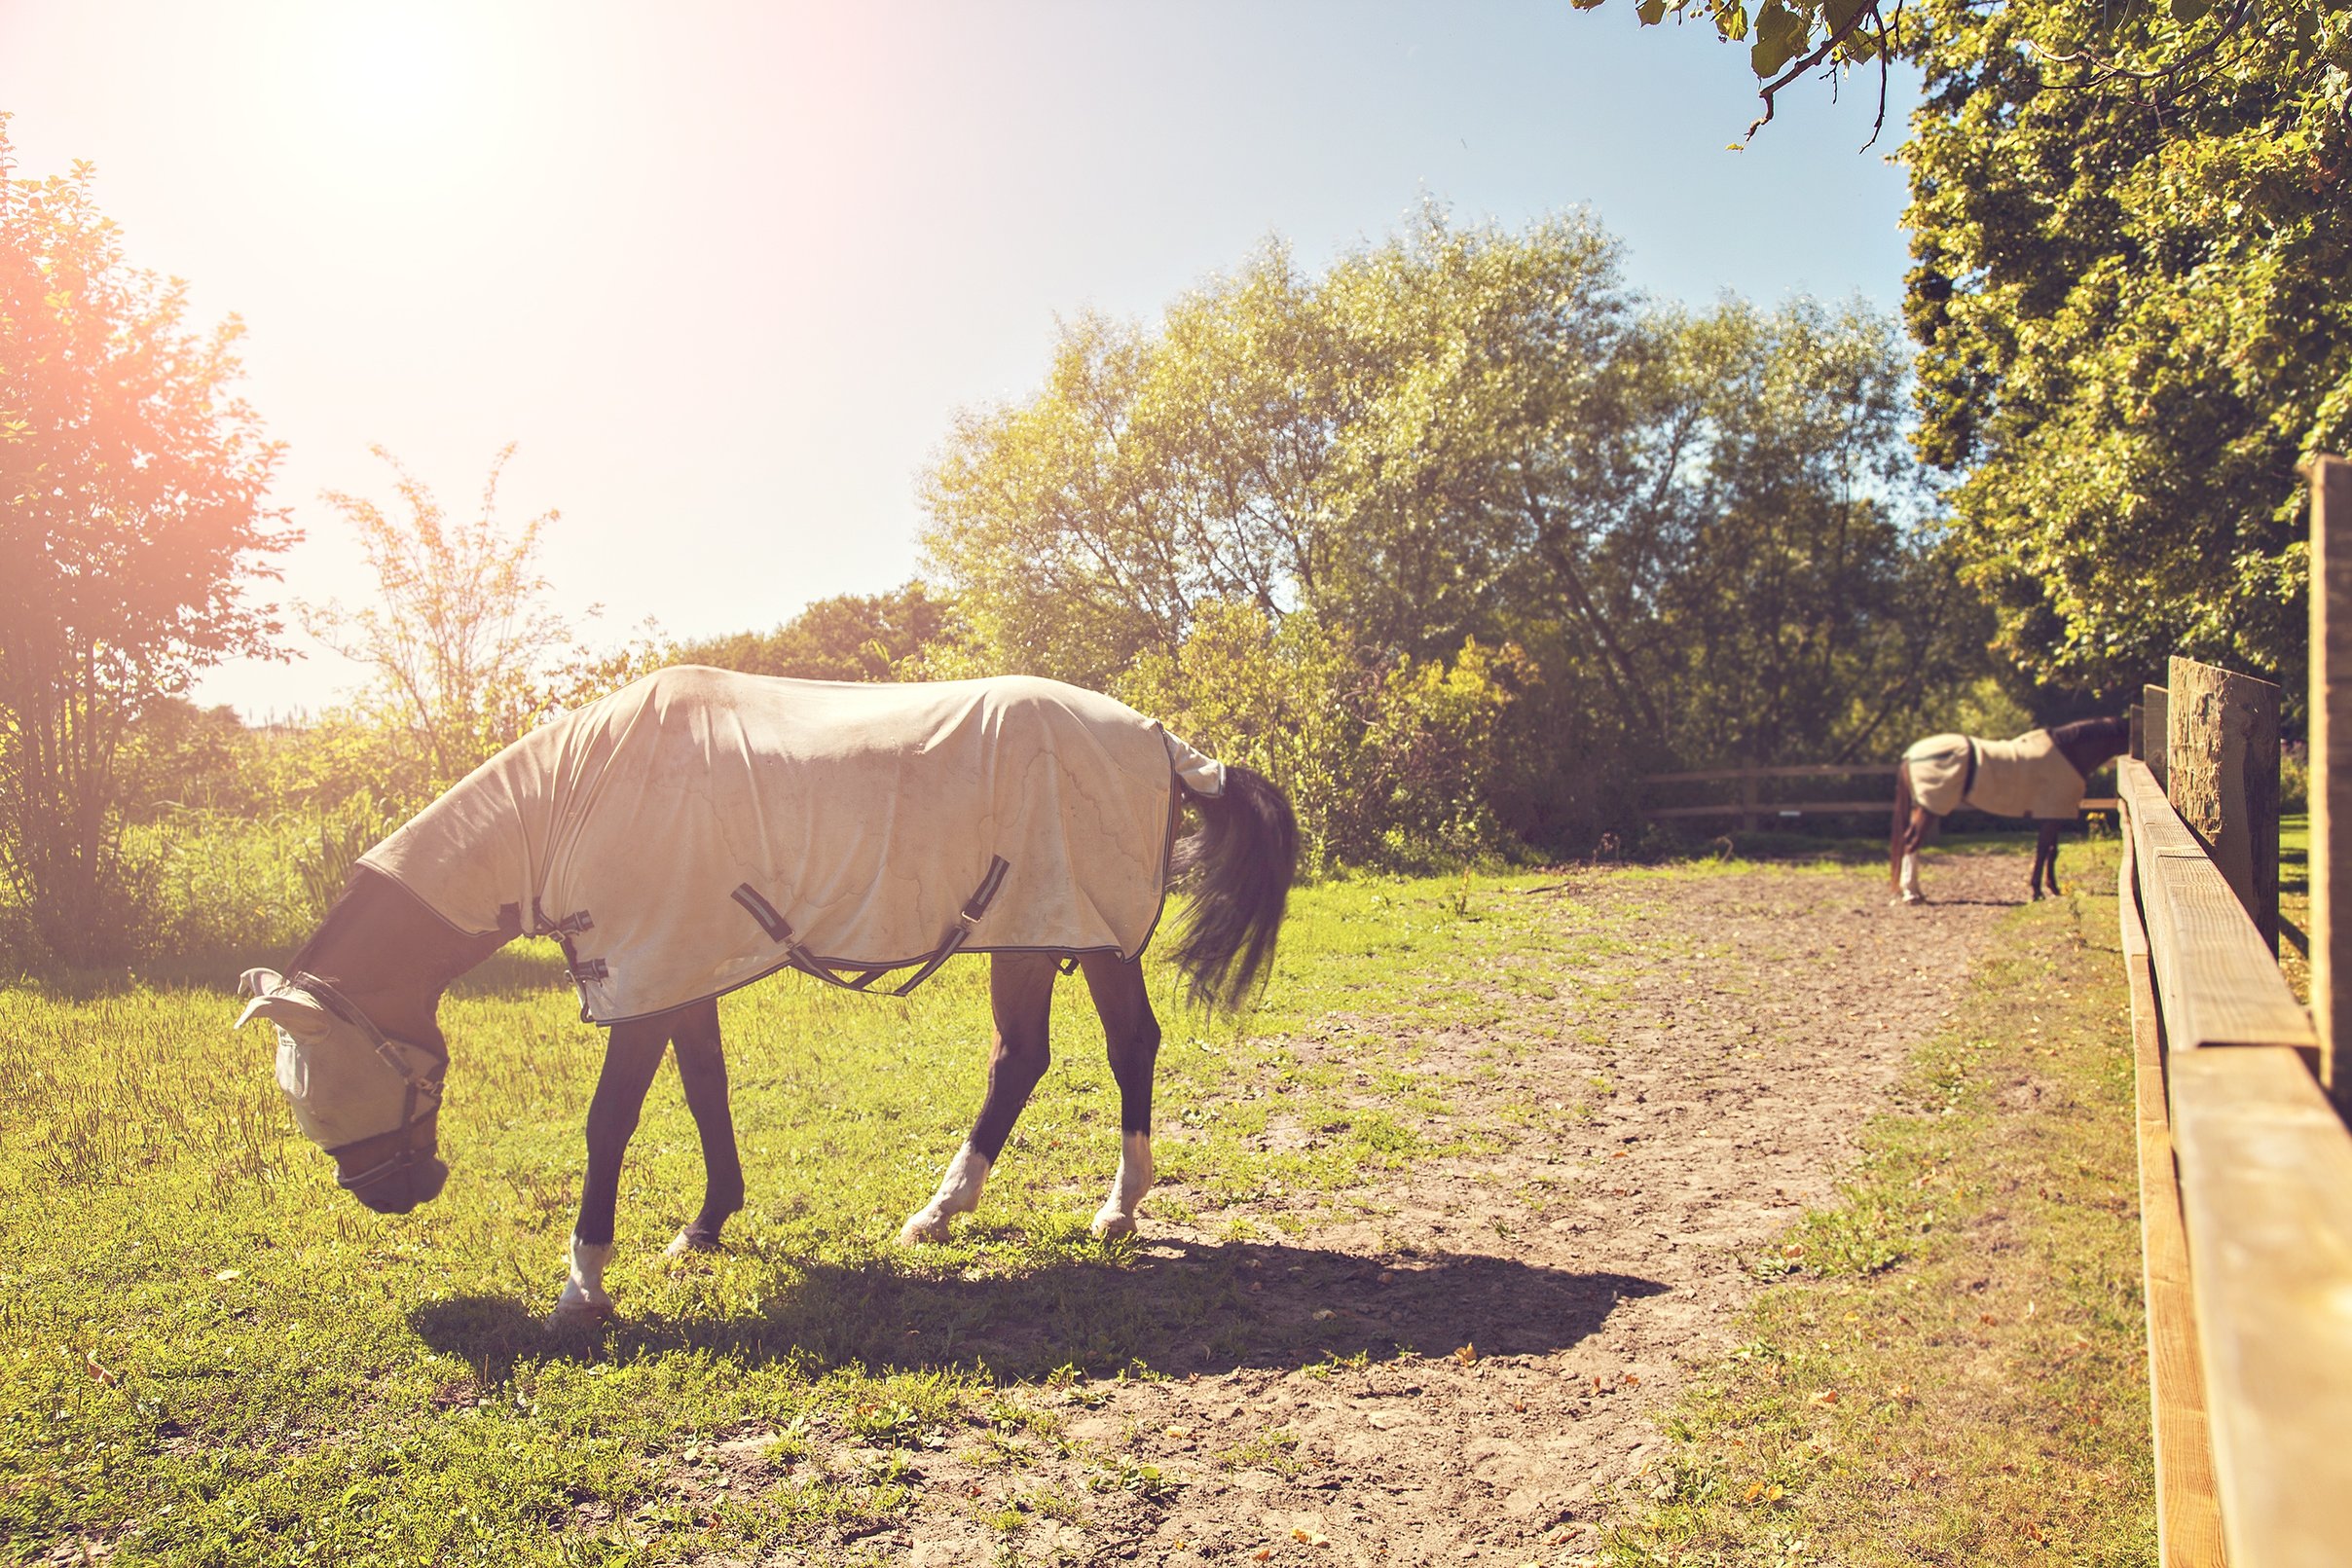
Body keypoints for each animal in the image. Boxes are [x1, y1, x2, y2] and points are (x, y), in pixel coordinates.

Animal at [233, 666, 1298, 1321]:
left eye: (326, 1078)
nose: (394, 1194)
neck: (573, 800)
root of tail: (1165, 743)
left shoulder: (644, 981)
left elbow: (610, 1122)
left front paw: (584, 1282)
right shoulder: (679, 973)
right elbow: (706, 1093)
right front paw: (703, 1229)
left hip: (1090, 939)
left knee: (1128, 1046)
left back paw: (1116, 1210)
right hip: (1028, 936)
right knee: (1020, 1059)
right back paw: (940, 1213)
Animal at [1888, 715, 2129, 904]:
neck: (2069, 753)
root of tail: (1911, 755)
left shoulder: (2055, 814)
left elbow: (2052, 851)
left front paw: (2053, 888)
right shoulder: (2051, 816)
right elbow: (2044, 850)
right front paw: (2037, 891)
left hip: (1923, 806)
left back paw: (1915, 892)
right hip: (1930, 808)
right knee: (1912, 842)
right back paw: (1911, 894)